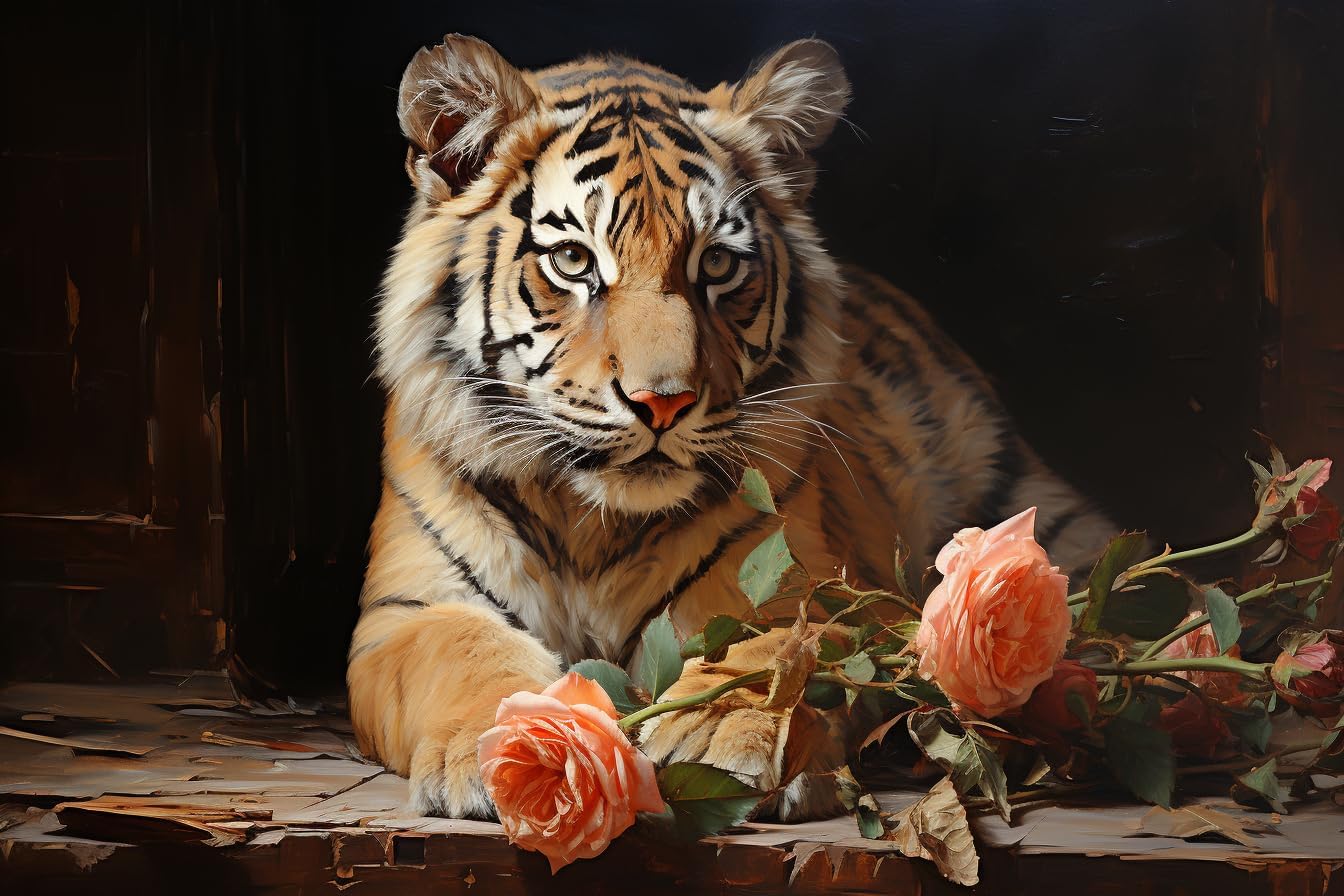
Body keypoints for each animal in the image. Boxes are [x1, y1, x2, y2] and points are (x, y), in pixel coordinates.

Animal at [348, 34, 1116, 822]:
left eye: (716, 263)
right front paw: (509, 746)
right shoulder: (405, 613)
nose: (662, 403)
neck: (595, 526)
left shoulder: (809, 593)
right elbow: (459, 651)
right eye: (573, 260)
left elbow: (772, 652)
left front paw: (722, 731)